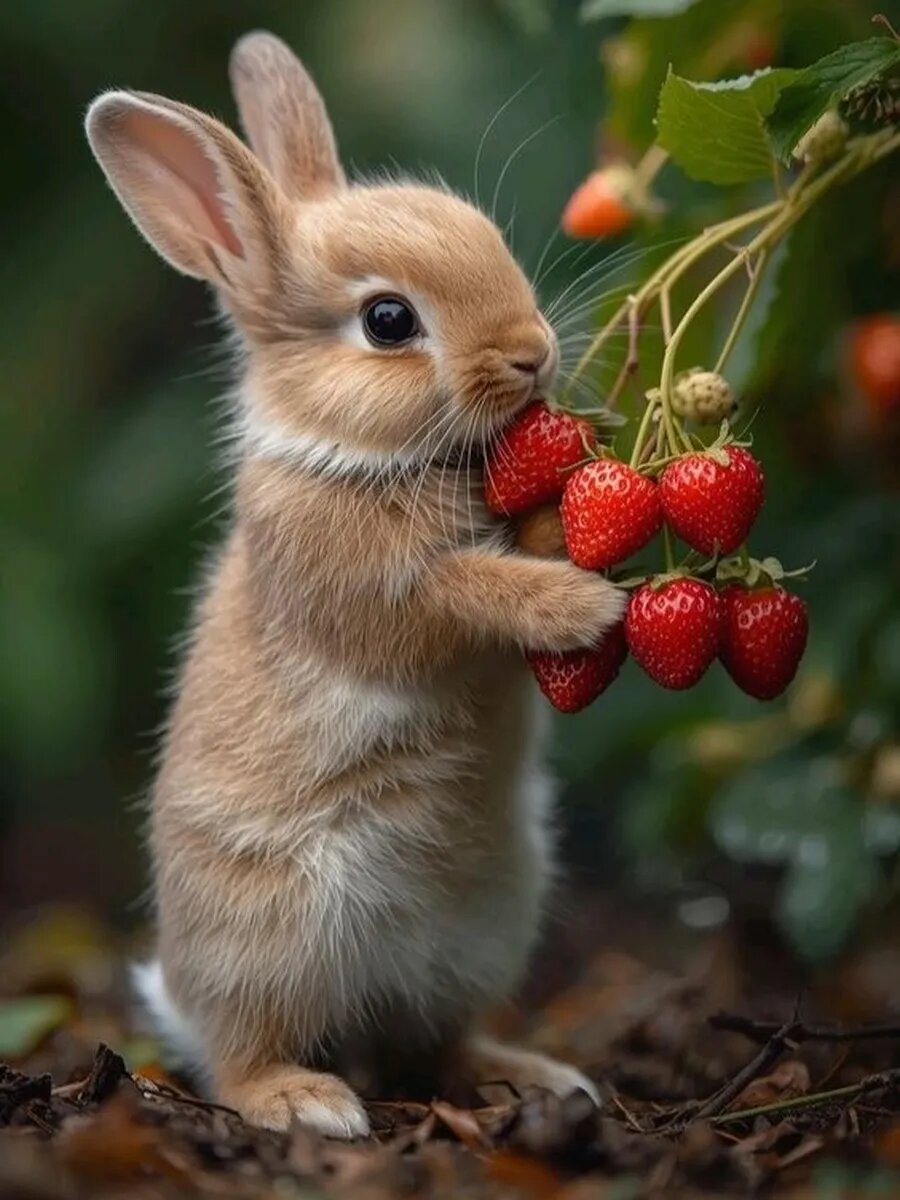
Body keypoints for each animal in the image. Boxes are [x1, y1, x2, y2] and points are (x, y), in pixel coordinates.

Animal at [85, 31, 624, 1137]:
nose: (534, 354)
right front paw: (581, 607)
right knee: (243, 1059)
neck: (355, 455)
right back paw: (311, 1105)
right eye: (387, 321)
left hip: (484, 926)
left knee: (440, 1040)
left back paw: (541, 1078)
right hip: (272, 941)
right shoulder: (370, 596)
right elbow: (465, 592)